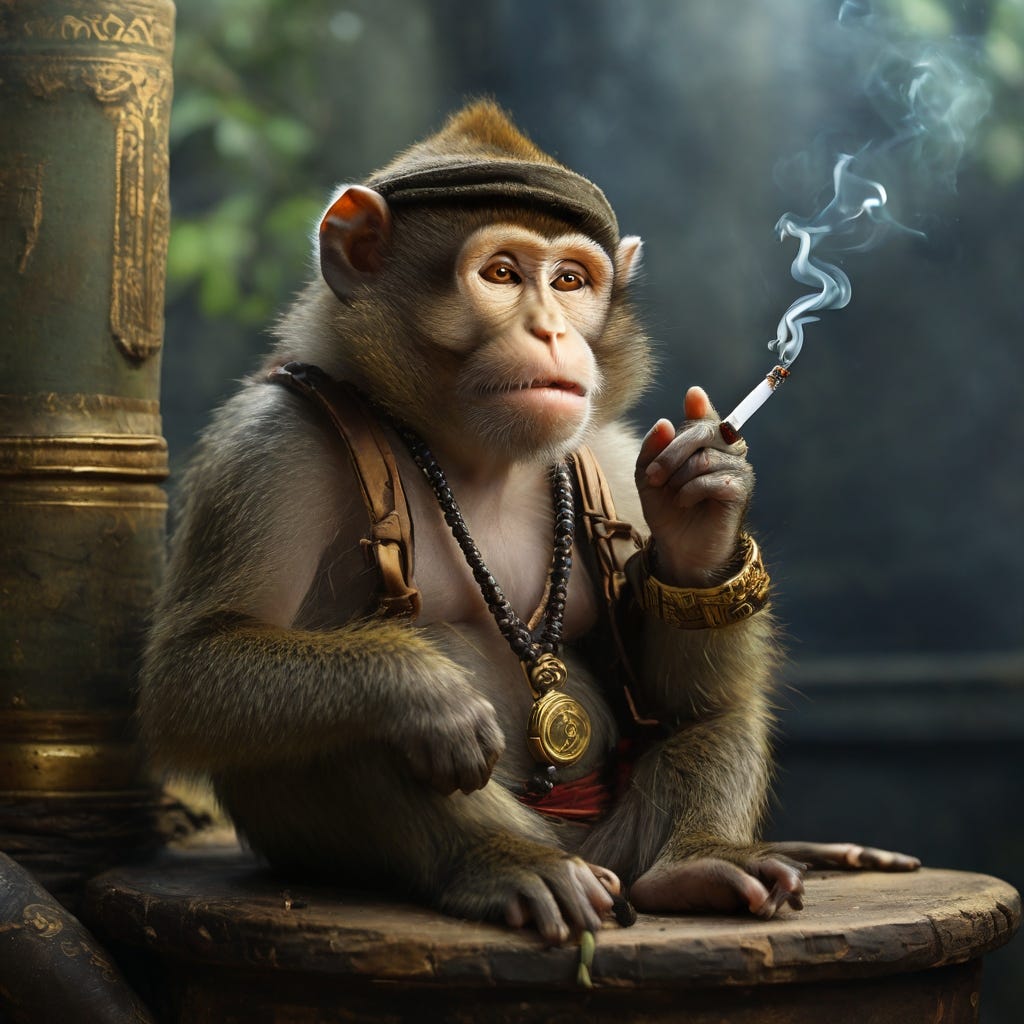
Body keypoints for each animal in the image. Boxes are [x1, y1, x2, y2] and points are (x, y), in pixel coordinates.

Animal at [139, 101, 918, 946]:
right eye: (502, 274)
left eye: (571, 280)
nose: (552, 331)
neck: (470, 450)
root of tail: (586, 850)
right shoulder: (270, 447)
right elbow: (189, 674)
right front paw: (422, 690)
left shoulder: (609, 453)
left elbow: (674, 695)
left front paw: (701, 504)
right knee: (369, 730)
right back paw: (508, 862)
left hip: (619, 841)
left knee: (717, 711)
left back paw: (697, 863)